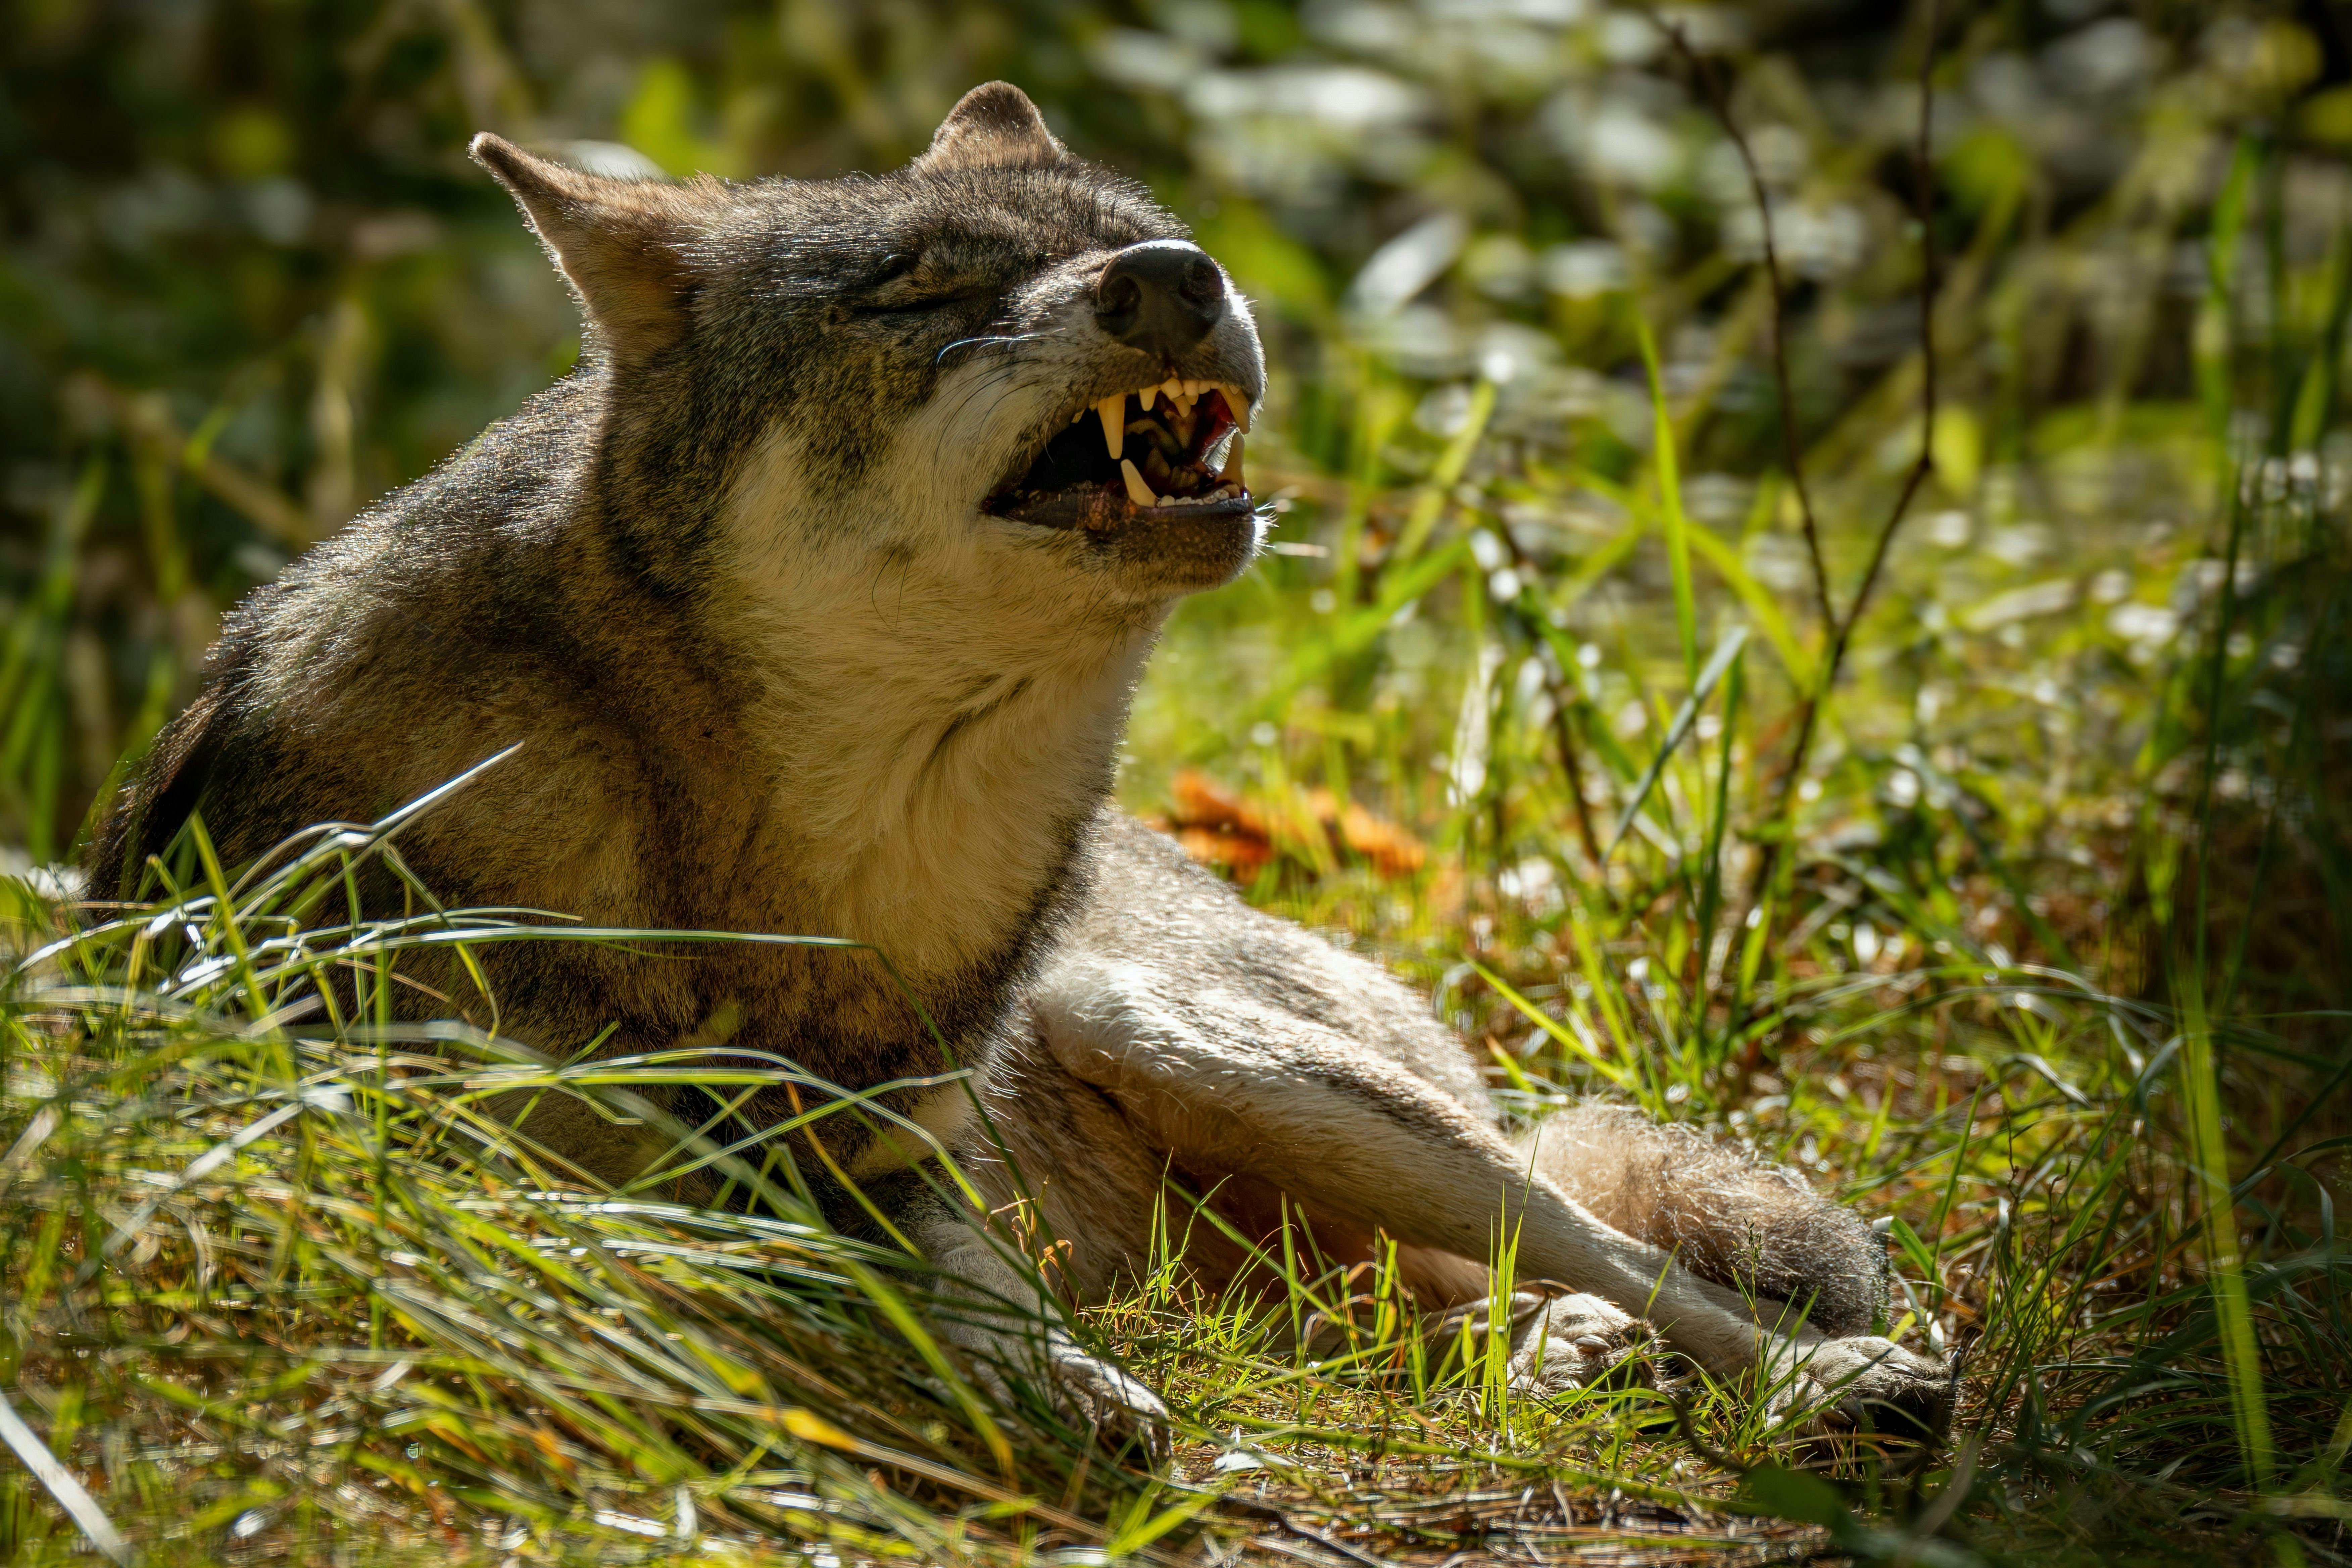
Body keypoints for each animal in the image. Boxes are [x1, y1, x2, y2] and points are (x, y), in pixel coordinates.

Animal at [90, 83, 1949, 1448]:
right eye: (919, 291)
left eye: (1124, 241)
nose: (1179, 278)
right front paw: (1040, 1376)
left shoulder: (907, 1152)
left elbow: (955, 1274)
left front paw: (1050, 1375)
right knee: (1428, 1304)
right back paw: (1560, 1354)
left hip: (1196, 1038)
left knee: (1616, 1248)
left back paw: (1808, 1372)